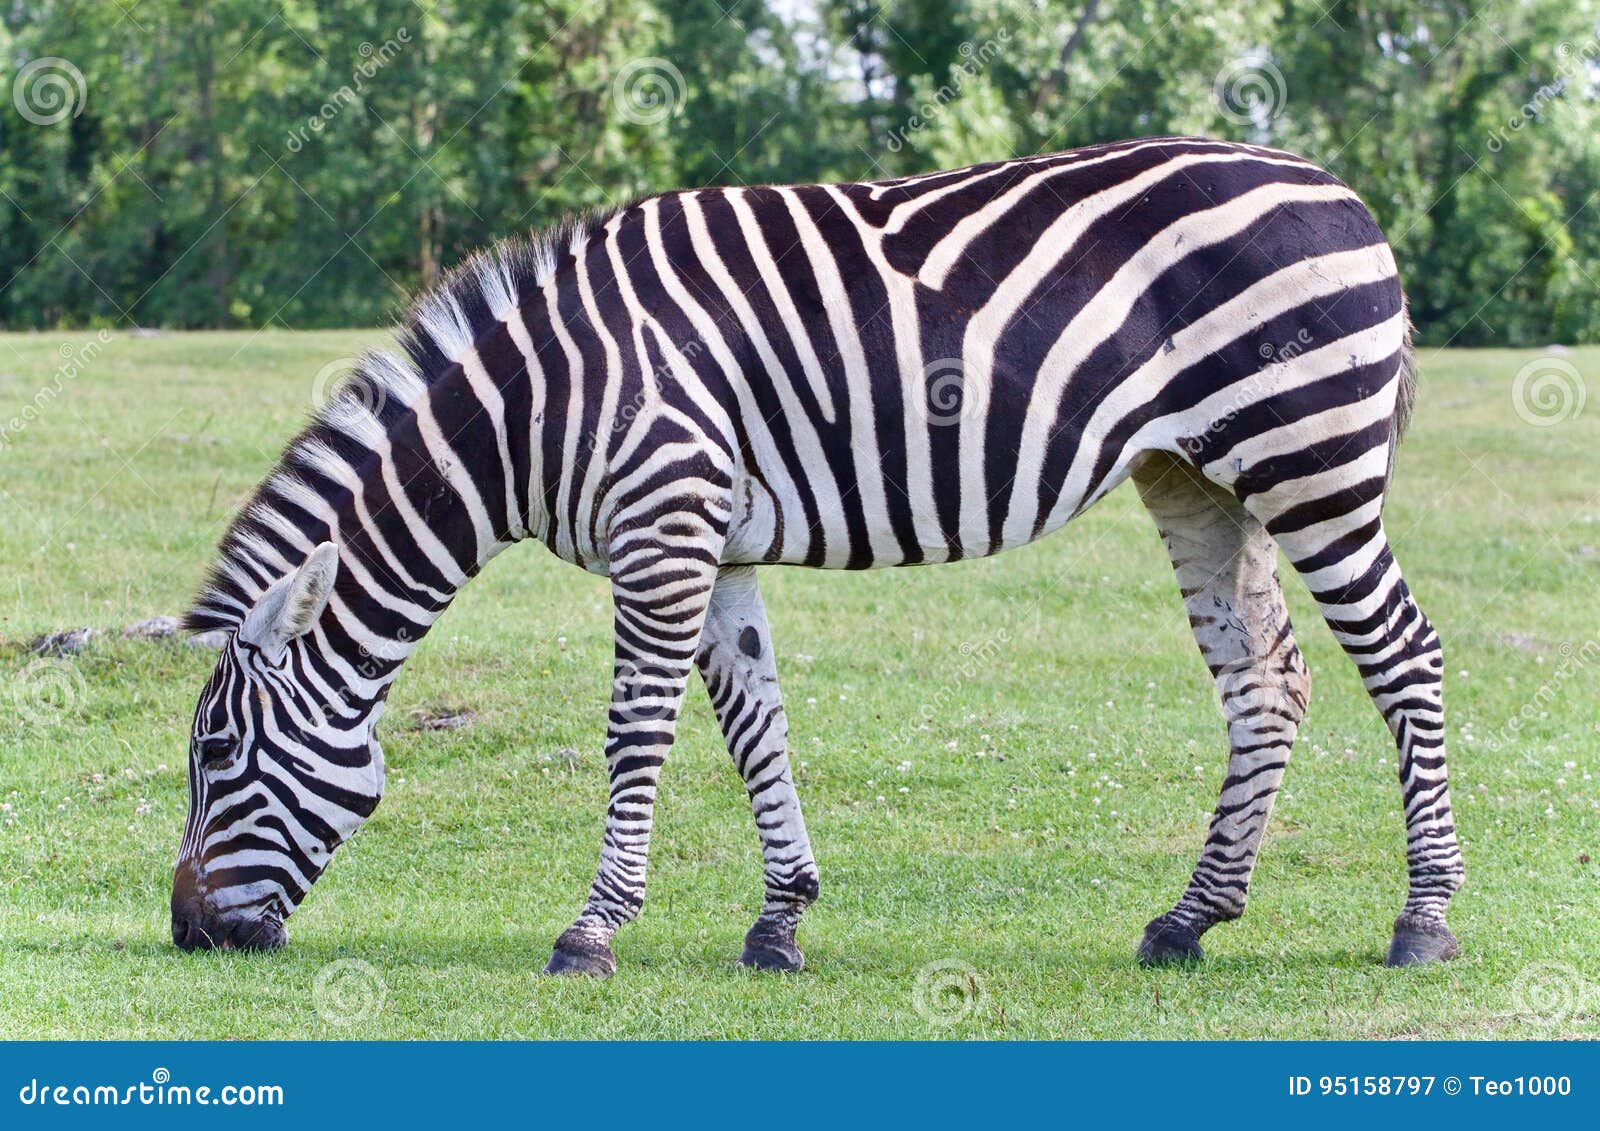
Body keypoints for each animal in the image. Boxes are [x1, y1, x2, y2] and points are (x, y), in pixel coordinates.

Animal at [172, 135, 1464, 974]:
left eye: (218, 754)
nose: (187, 934)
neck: (533, 403)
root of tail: (1339, 190)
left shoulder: (662, 524)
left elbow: (636, 732)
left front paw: (591, 931)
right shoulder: (715, 542)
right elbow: (757, 728)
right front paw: (780, 923)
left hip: (1310, 462)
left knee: (1403, 656)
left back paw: (1424, 921)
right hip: (1196, 476)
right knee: (1267, 679)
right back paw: (1189, 920)